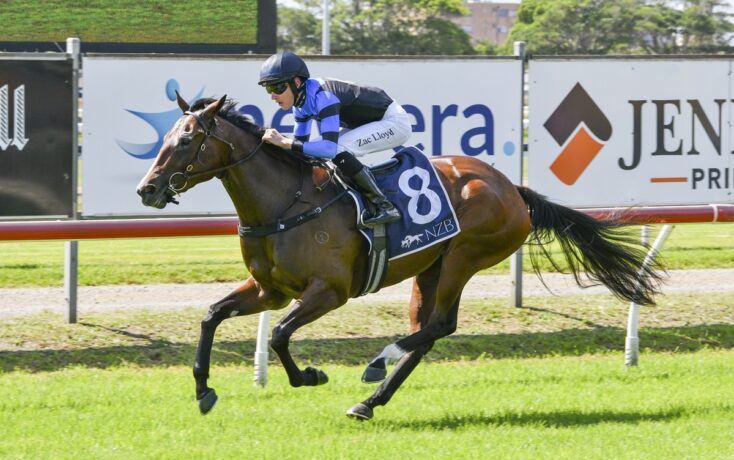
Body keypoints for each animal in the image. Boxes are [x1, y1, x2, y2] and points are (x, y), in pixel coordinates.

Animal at [136, 94, 663, 421]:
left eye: (187, 140)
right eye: (165, 137)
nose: (148, 189)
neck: (285, 201)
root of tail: (513, 188)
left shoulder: (329, 292)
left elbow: (281, 334)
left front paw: (309, 375)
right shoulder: (270, 290)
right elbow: (211, 315)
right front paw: (204, 390)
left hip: (464, 257)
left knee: (438, 326)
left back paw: (377, 364)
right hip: (428, 268)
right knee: (425, 333)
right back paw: (370, 400)